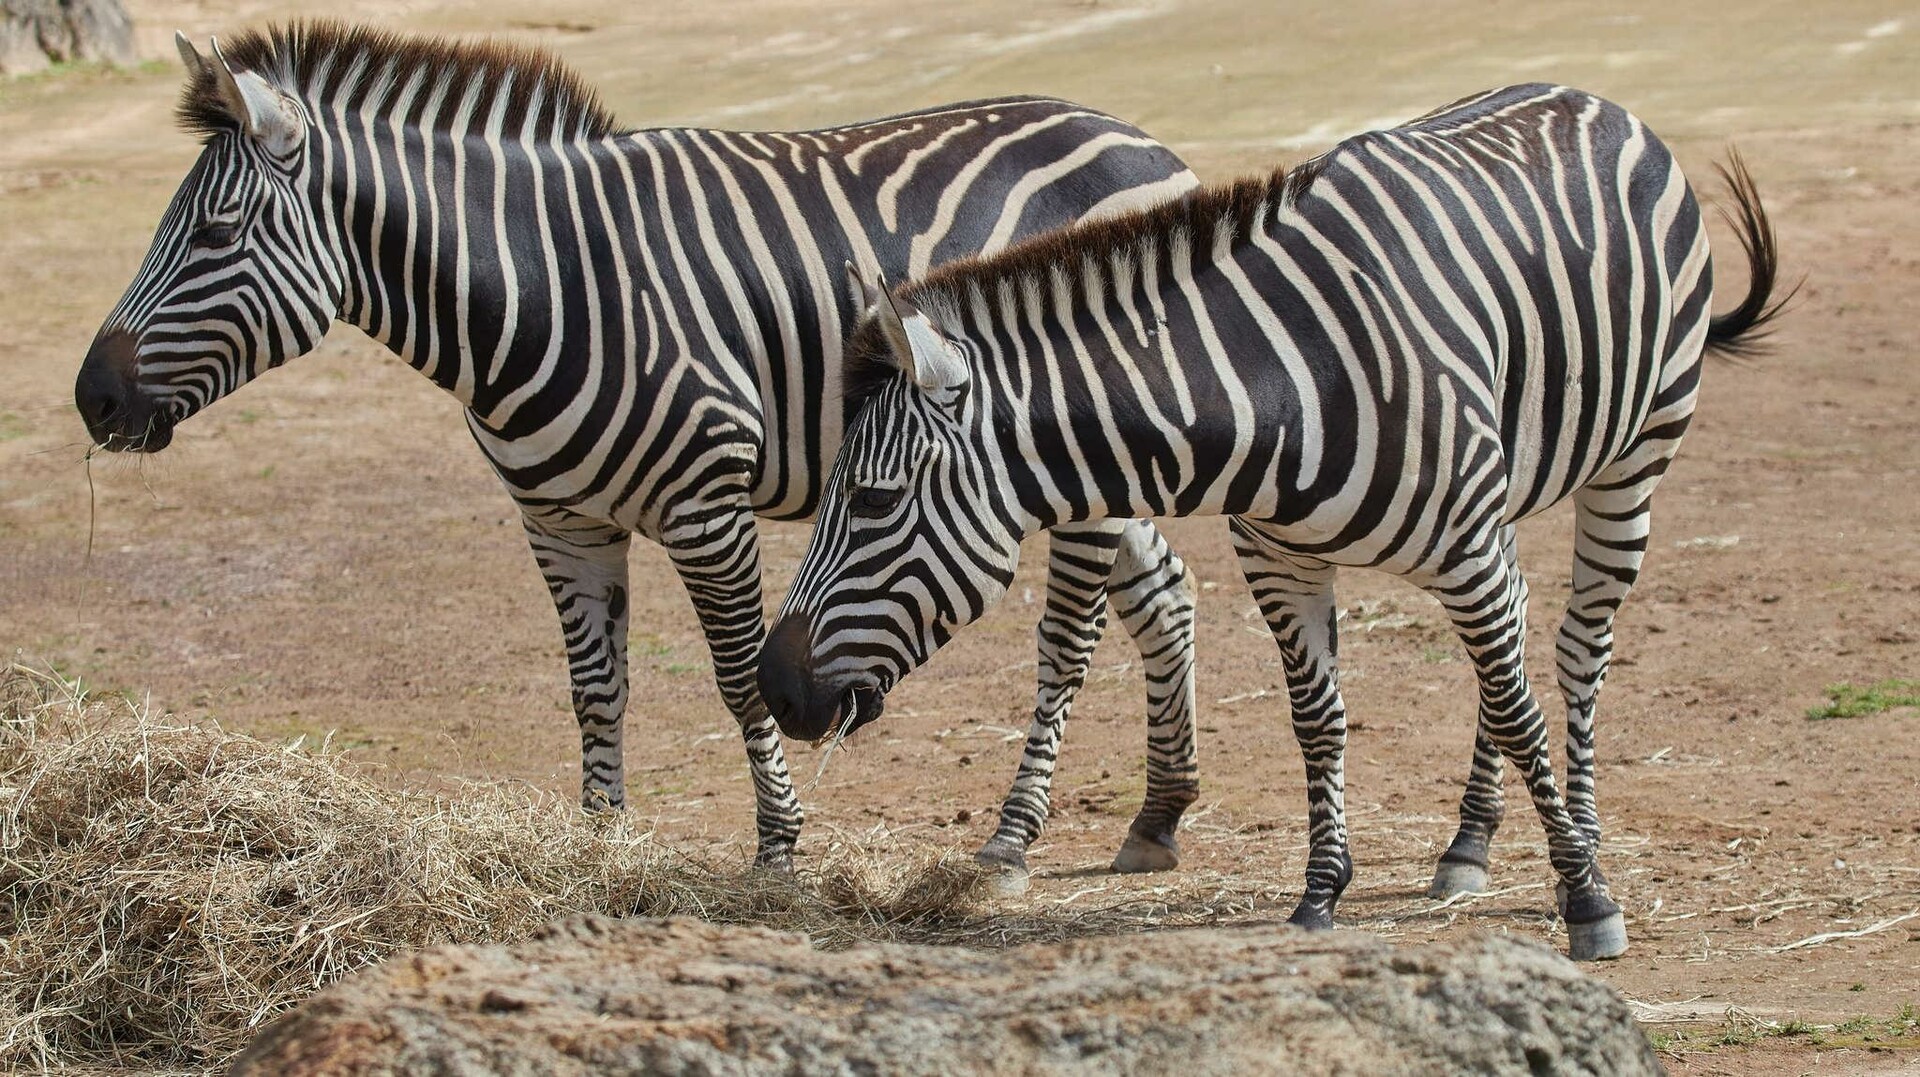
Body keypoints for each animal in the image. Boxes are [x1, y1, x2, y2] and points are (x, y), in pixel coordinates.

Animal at [70, 21, 1207, 878]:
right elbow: (595, 684)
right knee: (1164, 591)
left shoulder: (708, 506)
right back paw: (1157, 816)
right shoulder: (559, 522)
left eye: (214, 234)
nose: (92, 397)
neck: (542, 285)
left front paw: (778, 846)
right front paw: (599, 840)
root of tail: (1148, 146)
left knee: (1069, 637)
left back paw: (1016, 834)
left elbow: (742, 678)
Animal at [758, 83, 1787, 960]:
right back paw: (1468, 842)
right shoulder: (1278, 561)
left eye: (875, 500)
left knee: (1576, 655)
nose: (777, 687)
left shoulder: (1461, 549)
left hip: (1635, 453)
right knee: (1524, 632)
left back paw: (1580, 830)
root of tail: (1592, 98)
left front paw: (1588, 897)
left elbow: (1519, 710)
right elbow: (1319, 721)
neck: (1281, 382)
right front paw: (1322, 892)